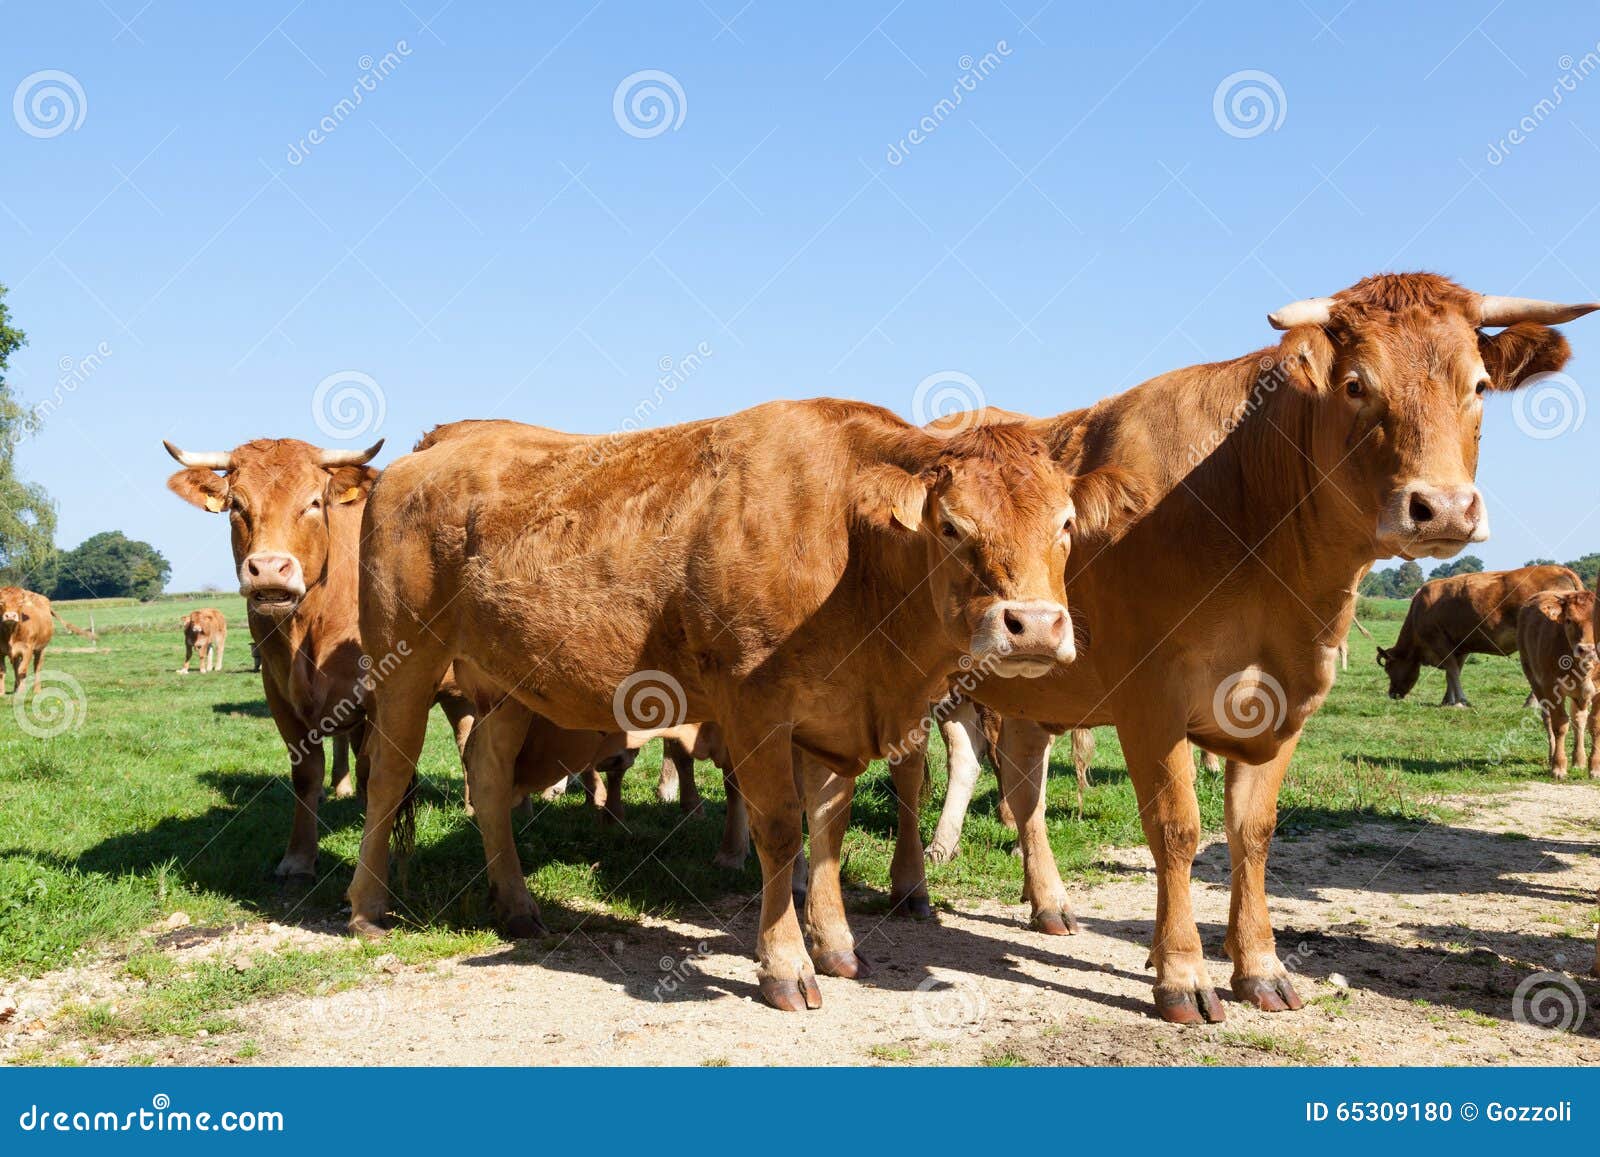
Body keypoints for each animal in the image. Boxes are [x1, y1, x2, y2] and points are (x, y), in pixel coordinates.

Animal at [164, 438, 477, 878]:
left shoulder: (378, 695)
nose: (269, 570)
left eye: (313, 502)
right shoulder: (279, 693)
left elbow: (371, 768)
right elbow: (305, 773)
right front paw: (298, 857)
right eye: (236, 505)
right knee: (468, 738)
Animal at [345, 399, 1145, 1011]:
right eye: (952, 526)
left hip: (512, 679)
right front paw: (786, 967)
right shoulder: (756, 704)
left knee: (486, 769)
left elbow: (829, 829)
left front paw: (838, 947)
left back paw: (515, 904)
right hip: (404, 655)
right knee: (388, 774)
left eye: (1065, 525)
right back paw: (365, 908)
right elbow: (782, 832)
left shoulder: (831, 715)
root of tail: (441, 443)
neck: (847, 541)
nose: (1034, 625)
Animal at [1378, 565, 1583, 705]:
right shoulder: (1461, 646)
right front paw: (1448, 700)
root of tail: (1559, 569)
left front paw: (1460, 701)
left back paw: (1532, 703)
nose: (1392, 694)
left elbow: (1452, 670)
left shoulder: (1439, 641)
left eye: (1389, 668)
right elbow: (1454, 672)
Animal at [1516, 589, 1599, 778]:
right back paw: (1552, 757)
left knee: (1579, 719)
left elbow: (1595, 724)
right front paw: (1559, 767)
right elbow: (1560, 724)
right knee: (1548, 718)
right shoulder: (1551, 686)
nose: (1587, 649)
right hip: (1535, 680)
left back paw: (1579, 760)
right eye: (1568, 620)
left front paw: (1595, 768)